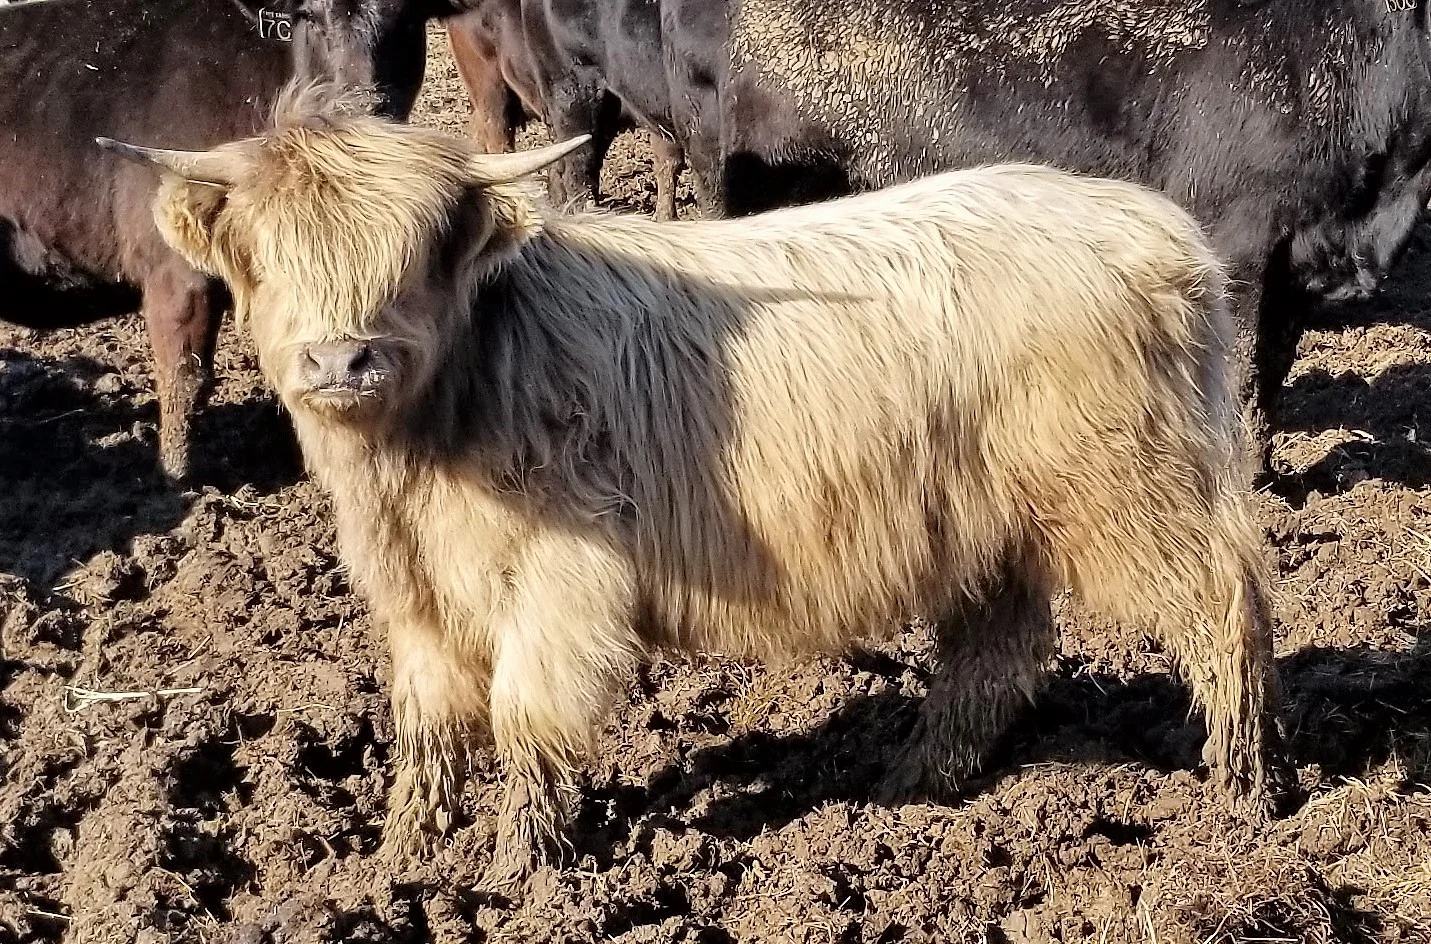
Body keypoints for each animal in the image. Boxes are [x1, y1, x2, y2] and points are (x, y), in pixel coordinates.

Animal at [0, 0, 428, 479]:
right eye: (311, 16)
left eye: (408, 17)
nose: (364, 103)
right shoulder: (177, 274)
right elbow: (185, 376)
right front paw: (176, 475)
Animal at [103, 83, 1288, 893]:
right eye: (267, 254)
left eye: (416, 253)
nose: (344, 358)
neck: (420, 453)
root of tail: (1161, 232)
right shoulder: (419, 598)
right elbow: (429, 726)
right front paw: (398, 859)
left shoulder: (561, 576)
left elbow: (527, 715)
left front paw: (517, 873)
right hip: (989, 524)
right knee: (997, 651)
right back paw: (909, 786)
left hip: (1133, 489)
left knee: (1223, 606)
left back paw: (1238, 798)